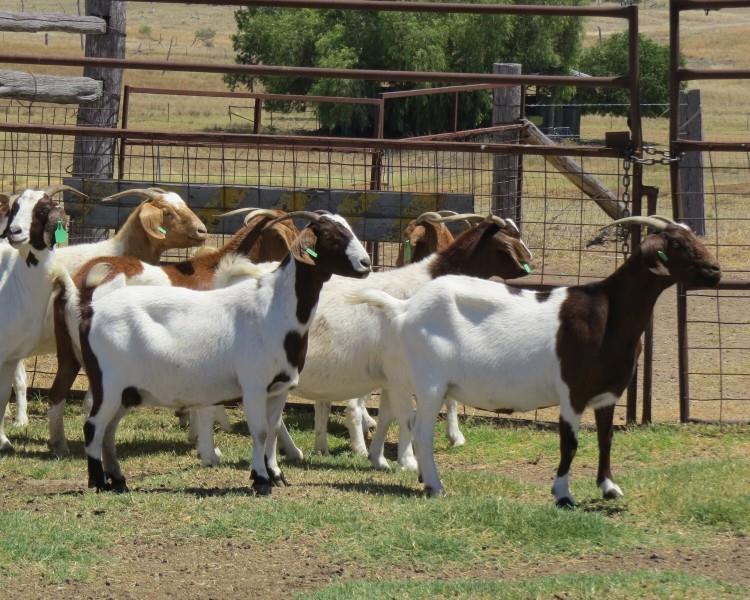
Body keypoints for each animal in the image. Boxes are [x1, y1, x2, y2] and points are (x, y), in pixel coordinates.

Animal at [0, 190, 67, 452]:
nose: (14, 231)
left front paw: (4, 442)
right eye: (15, 207)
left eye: (42, 210)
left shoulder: (11, 355)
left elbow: (2, 396)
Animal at [352, 216, 721, 504]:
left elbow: (606, 439)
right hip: (429, 383)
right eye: (677, 244)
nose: (715, 271)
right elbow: (570, 443)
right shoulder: (572, 392)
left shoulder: (608, 394)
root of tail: (404, 308)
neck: (607, 313)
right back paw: (435, 485)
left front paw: (609, 488)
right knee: (421, 432)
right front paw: (563, 494)